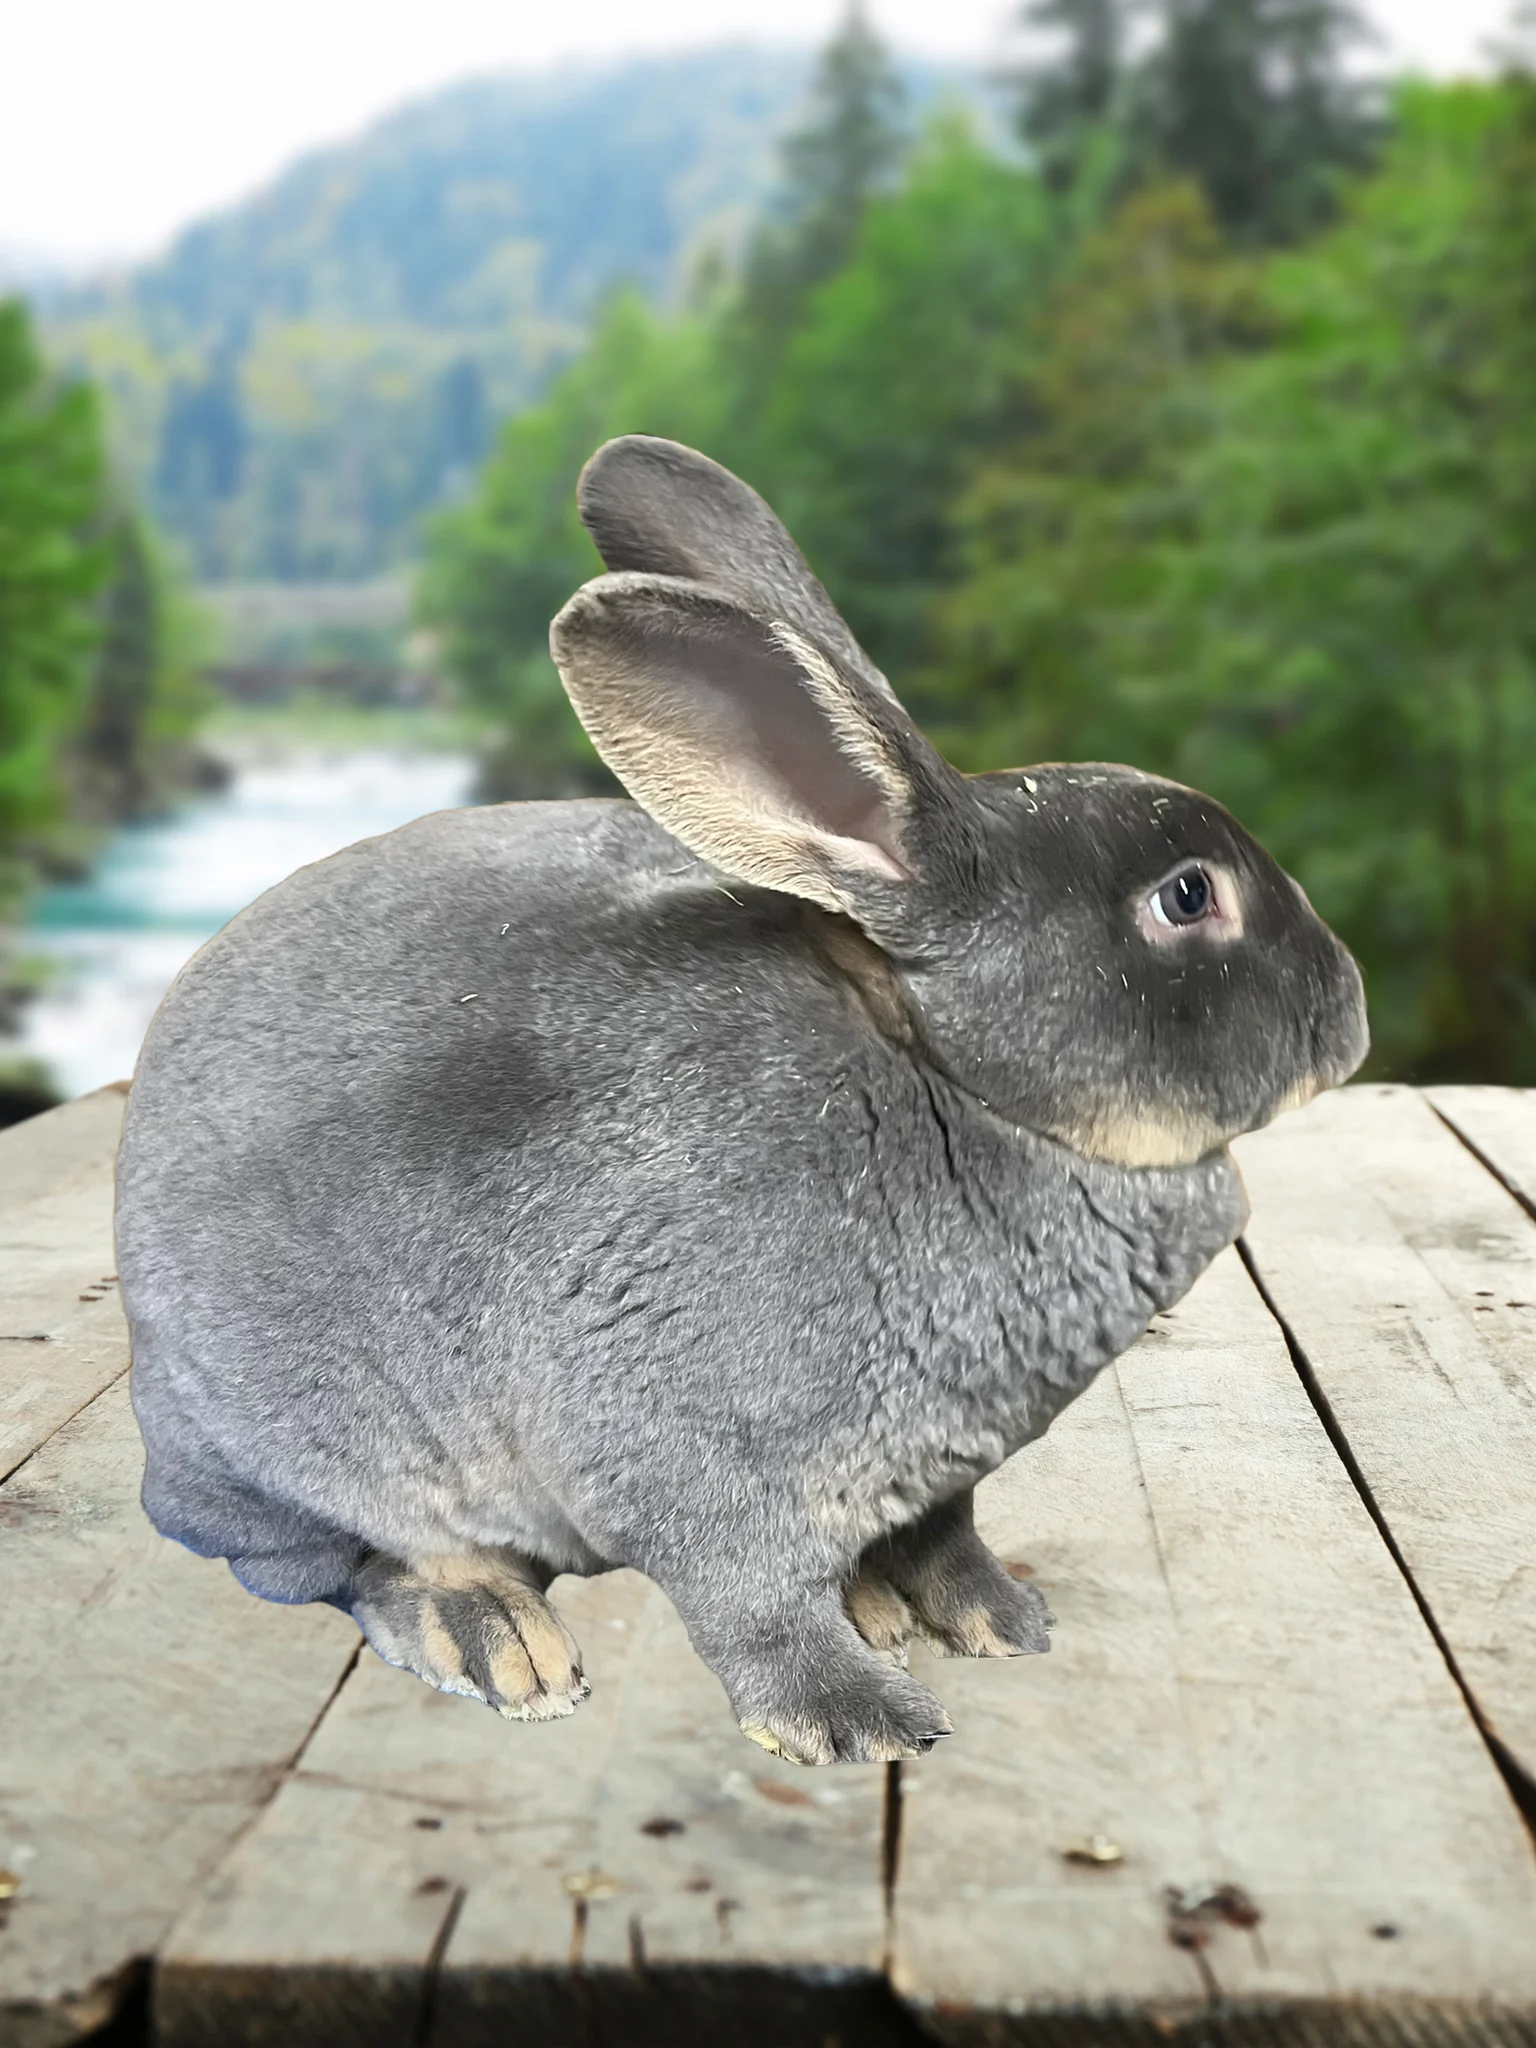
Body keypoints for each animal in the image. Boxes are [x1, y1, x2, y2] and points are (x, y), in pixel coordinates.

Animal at [117, 435, 1368, 1766]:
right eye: (1186, 897)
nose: (1350, 1006)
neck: (947, 1081)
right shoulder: (696, 1459)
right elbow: (748, 1602)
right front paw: (859, 1720)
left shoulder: (940, 1477)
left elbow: (946, 1538)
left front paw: (999, 1618)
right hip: (291, 1454)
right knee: (342, 1562)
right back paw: (494, 1636)